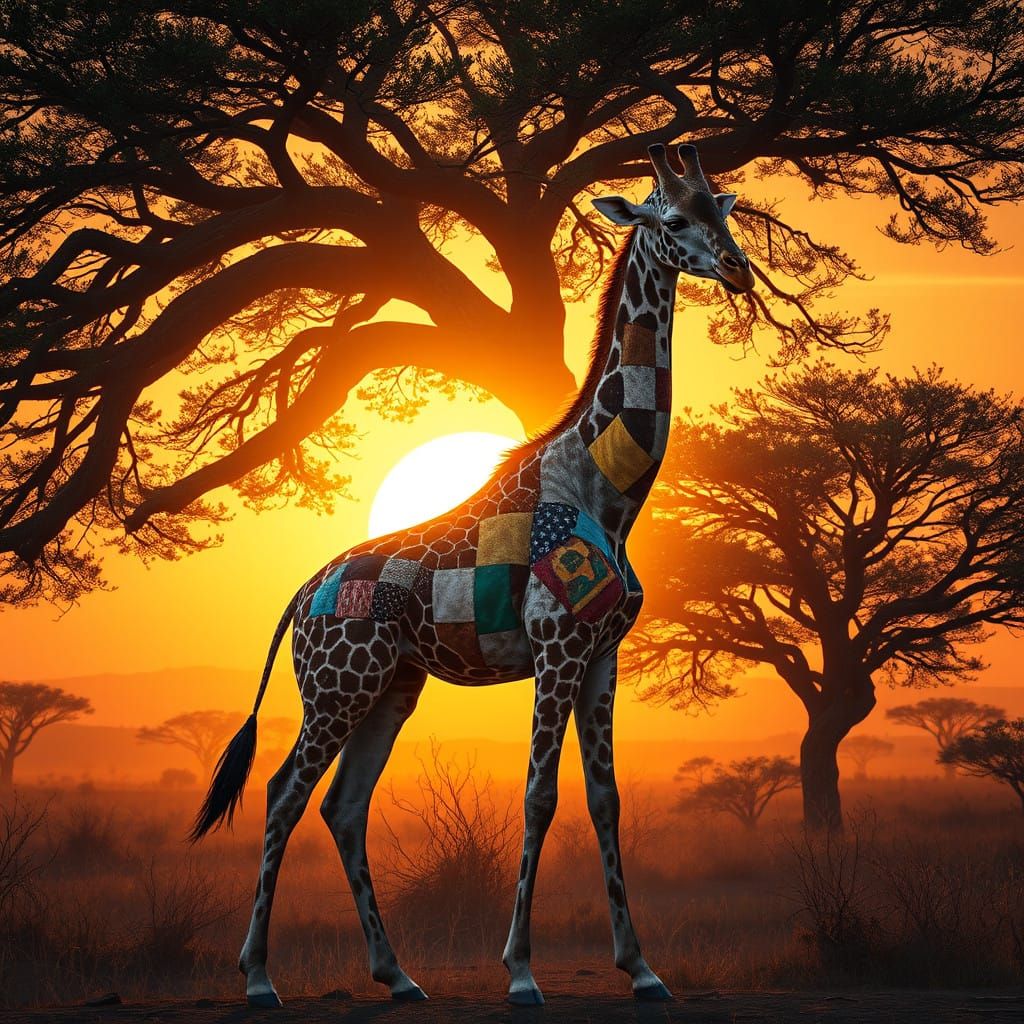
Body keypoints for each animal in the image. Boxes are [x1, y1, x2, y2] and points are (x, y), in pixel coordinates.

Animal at [191, 142, 755, 1008]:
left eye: (720, 210)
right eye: (669, 218)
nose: (737, 268)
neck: (605, 491)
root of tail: (303, 594)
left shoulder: (602, 655)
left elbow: (606, 800)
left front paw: (642, 968)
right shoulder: (556, 650)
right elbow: (539, 796)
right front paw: (520, 973)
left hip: (392, 687)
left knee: (344, 807)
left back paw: (397, 976)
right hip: (336, 687)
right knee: (285, 793)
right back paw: (258, 978)